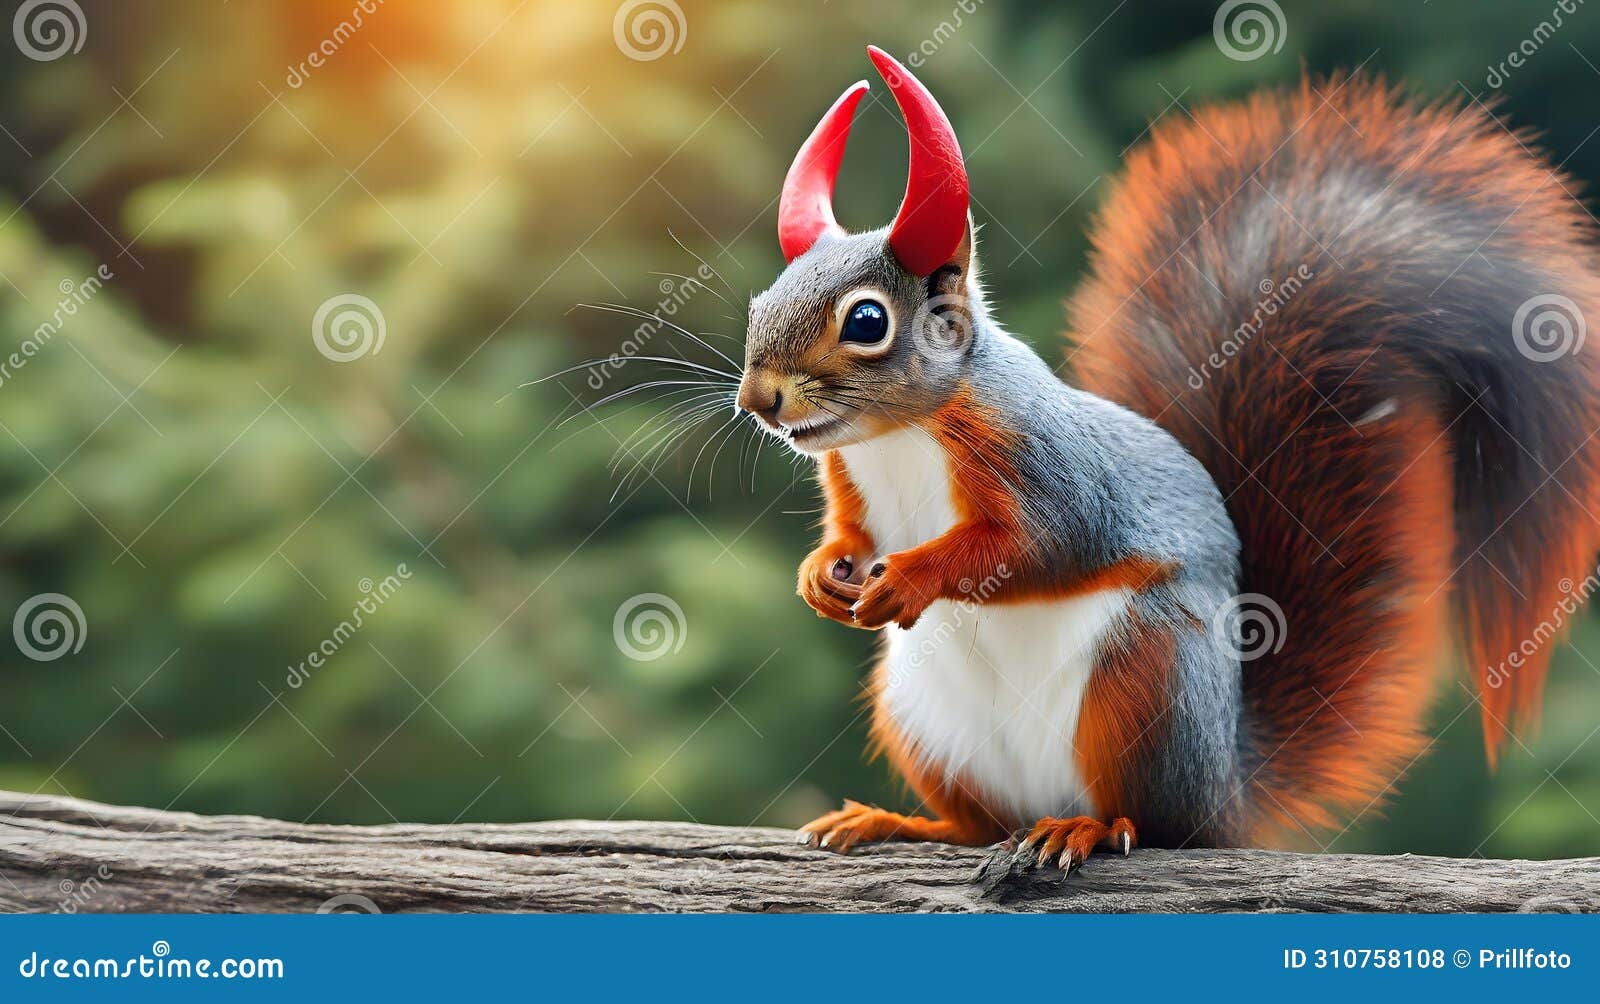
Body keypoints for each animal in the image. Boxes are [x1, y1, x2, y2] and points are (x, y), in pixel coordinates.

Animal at [737, 46, 1600, 868]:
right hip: (921, 713)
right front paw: (821, 575)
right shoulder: (851, 482)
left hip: (1145, 679)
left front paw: (914, 576)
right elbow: (855, 538)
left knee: (1153, 824)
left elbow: (1039, 546)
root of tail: (1228, 790)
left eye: (867, 321)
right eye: (759, 303)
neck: (897, 436)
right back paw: (900, 823)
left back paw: (1085, 829)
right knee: (980, 827)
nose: (758, 400)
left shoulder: (1043, 465)